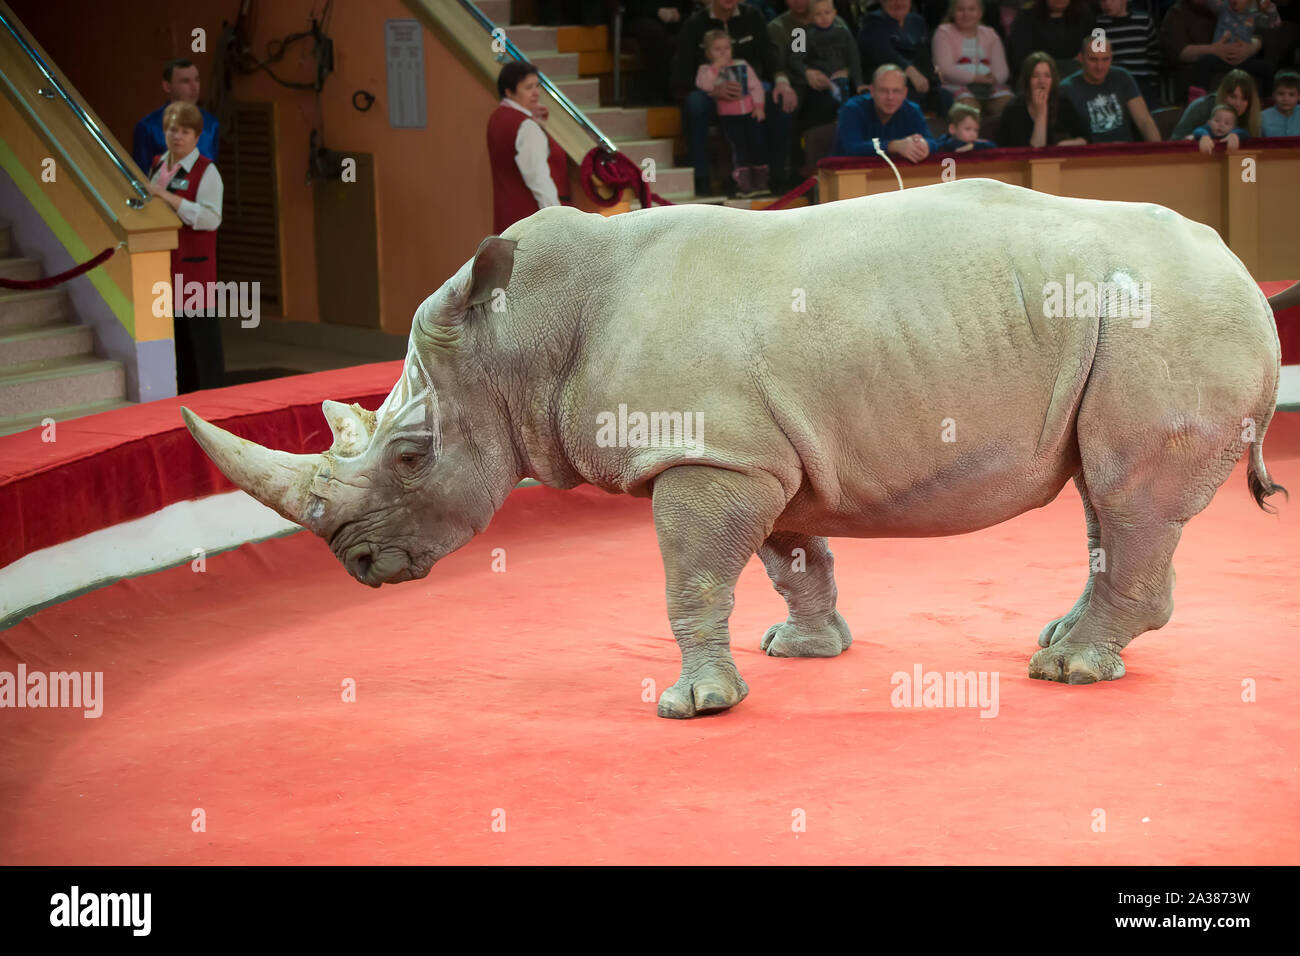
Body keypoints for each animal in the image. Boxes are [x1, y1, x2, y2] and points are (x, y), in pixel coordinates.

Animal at [182, 179, 1285, 719]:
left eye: (411, 457)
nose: (362, 566)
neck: (523, 334)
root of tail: (1246, 269)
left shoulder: (705, 455)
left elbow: (692, 578)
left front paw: (695, 706)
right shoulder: (755, 452)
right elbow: (792, 558)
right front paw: (803, 651)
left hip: (1172, 320)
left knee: (1127, 498)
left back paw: (1067, 671)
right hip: (1140, 324)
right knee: (1106, 495)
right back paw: (1068, 642)